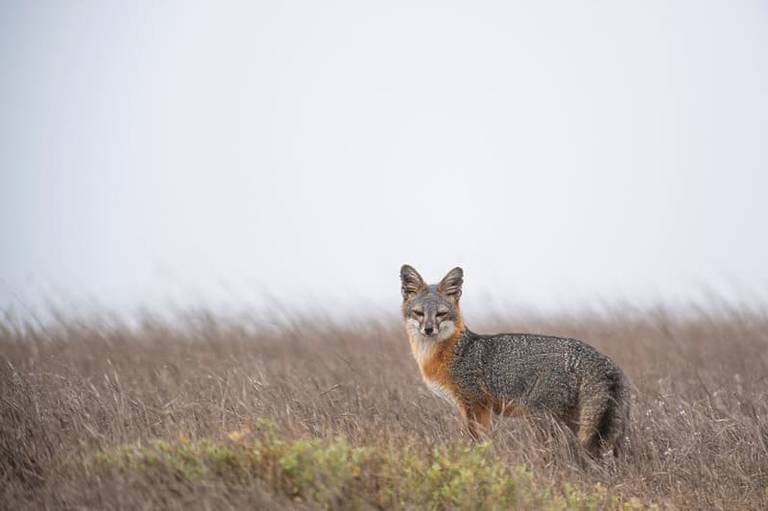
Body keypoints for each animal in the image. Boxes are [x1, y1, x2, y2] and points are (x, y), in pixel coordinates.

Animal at [400, 264, 631, 458]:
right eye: (419, 313)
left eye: (441, 314)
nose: (428, 329)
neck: (451, 351)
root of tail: (593, 353)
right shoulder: (474, 407)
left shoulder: (475, 404)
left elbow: (478, 441)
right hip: (577, 420)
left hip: (540, 416)